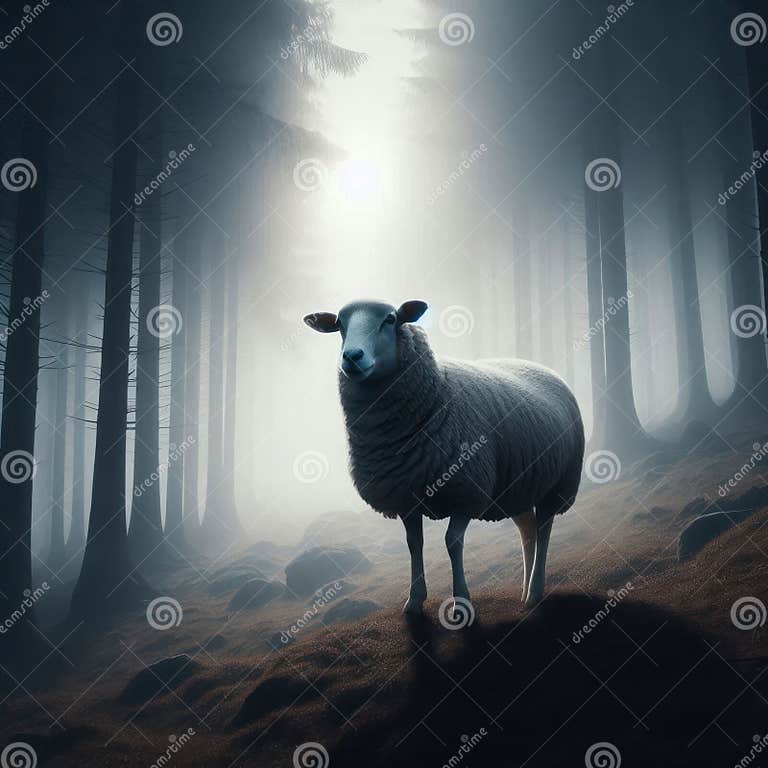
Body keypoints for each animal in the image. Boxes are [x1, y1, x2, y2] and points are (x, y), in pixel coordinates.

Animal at [304, 299, 585, 613]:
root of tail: (544, 367)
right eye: (339, 324)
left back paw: (535, 592)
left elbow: (452, 542)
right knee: (528, 531)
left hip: (558, 484)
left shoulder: (465, 490)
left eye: (390, 319)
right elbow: (414, 543)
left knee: (544, 529)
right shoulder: (406, 496)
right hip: (518, 488)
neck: (437, 393)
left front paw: (461, 601)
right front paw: (414, 601)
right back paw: (524, 594)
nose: (352, 356)